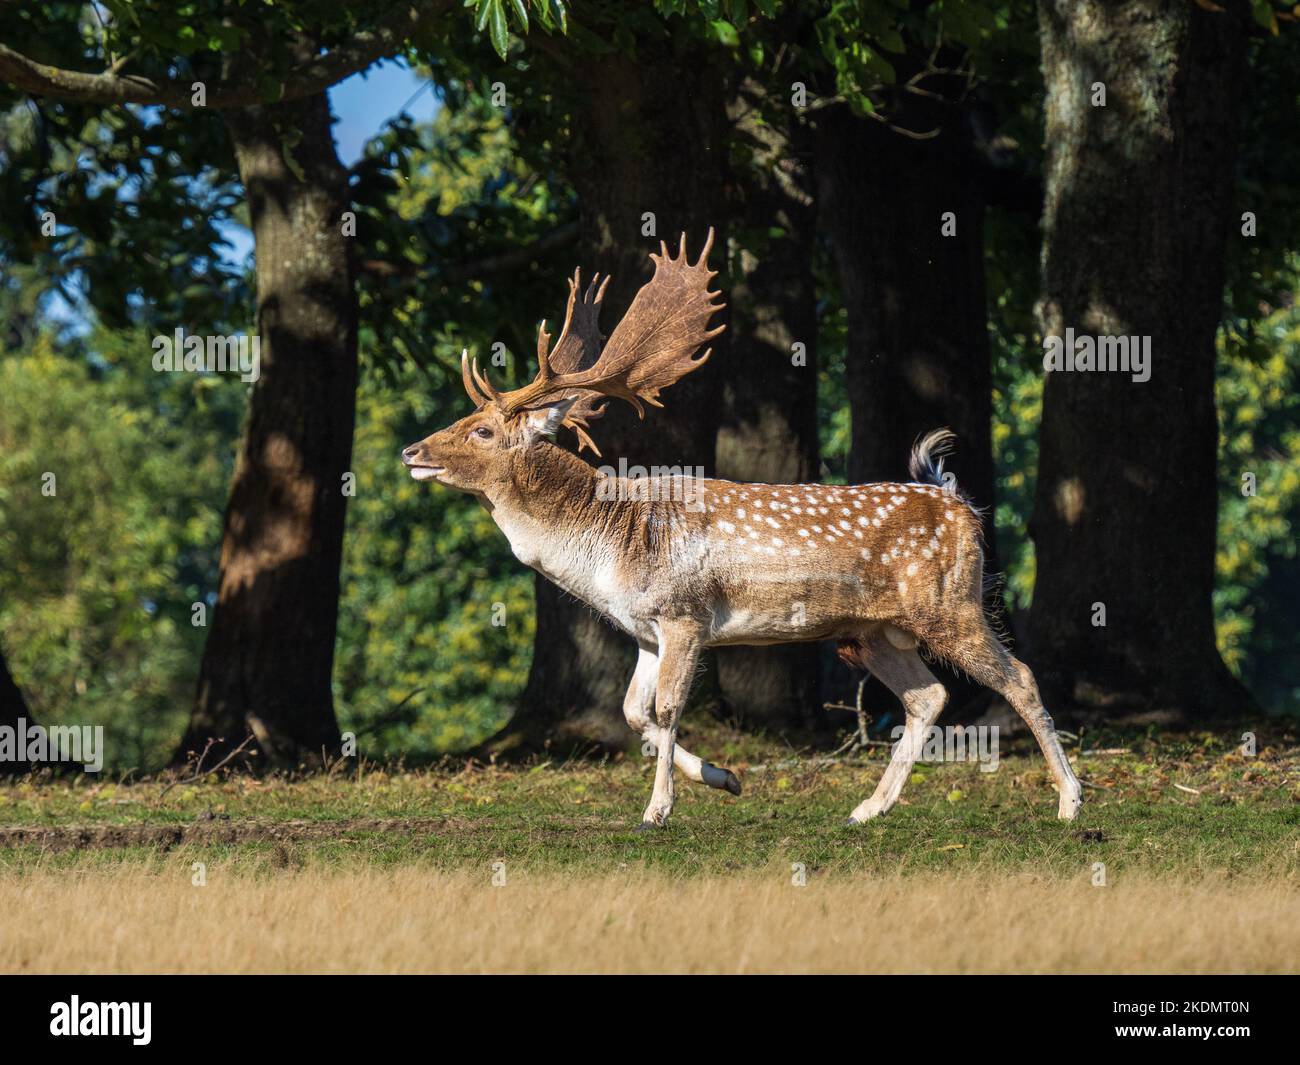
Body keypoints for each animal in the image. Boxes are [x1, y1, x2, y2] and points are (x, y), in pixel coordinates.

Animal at [402, 230, 1083, 830]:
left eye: (482, 430)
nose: (412, 451)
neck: (610, 546)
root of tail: (958, 502)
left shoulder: (684, 612)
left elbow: (667, 708)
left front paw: (658, 810)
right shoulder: (645, 628)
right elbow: (632, 713)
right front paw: (724, 779)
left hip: (950, 602)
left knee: (1019, 678)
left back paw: (1071, 802)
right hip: (872, 632)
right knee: (928, 697)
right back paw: (868, 809)